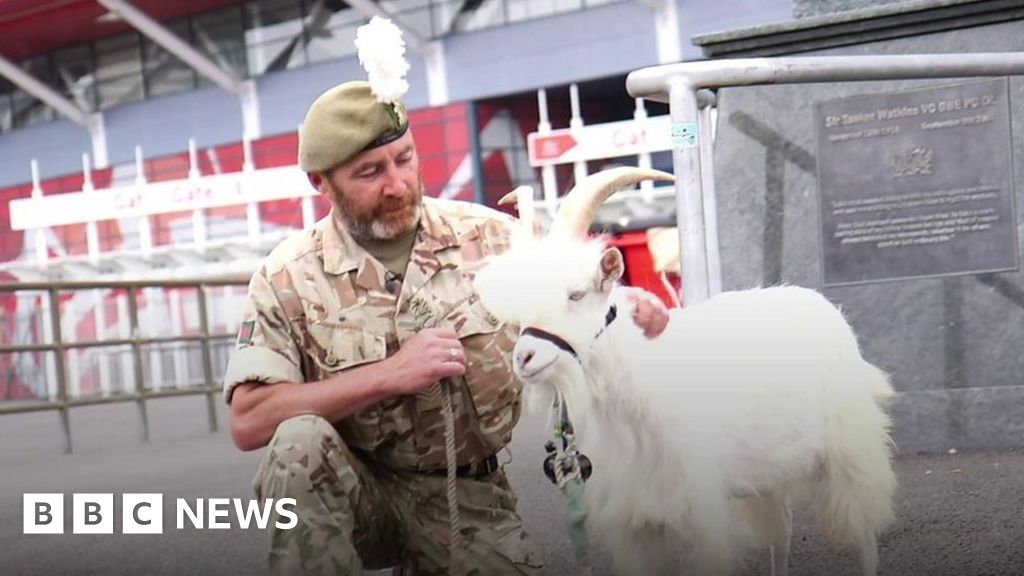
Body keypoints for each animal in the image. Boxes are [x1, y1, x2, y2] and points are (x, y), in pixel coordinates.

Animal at [473, 167, 897, 576]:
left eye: (576, 294)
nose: (524, 358)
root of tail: (817, 301)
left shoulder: (703, 512)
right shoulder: (634, 522)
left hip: (848, 447)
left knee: (863, 531)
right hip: (770, 470)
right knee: (782, 531)